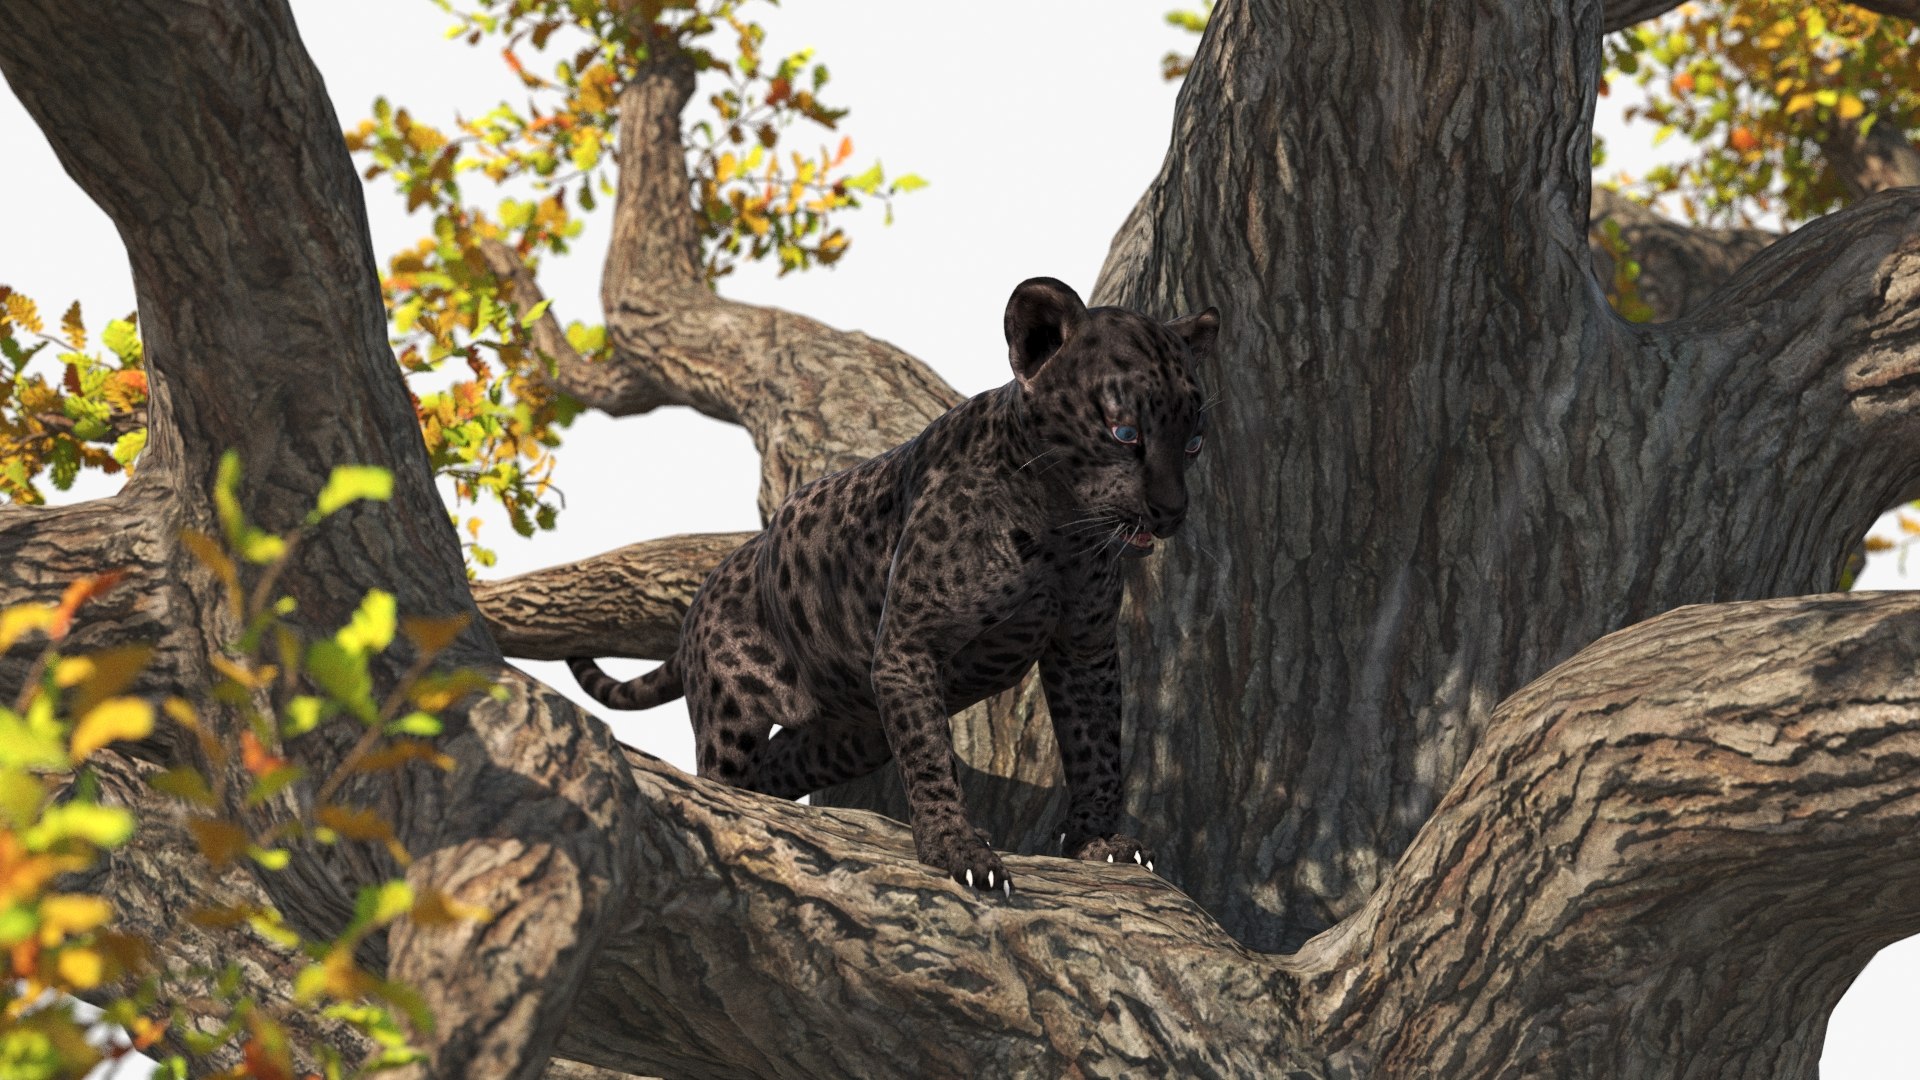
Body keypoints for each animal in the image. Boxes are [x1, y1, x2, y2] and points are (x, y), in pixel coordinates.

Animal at [570, 276, 1219, 896]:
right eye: (1124, 432)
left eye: (1193, 443)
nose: (1171, 512)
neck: (1059, 530)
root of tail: (704, 594)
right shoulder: (910, 646)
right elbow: (932, 758)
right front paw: (958, 851)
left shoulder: (1084, 648)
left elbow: (1097, 747)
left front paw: (1096, 843)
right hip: (731, 718)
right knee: (724, 780)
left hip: (851, 735)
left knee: (778, 767)